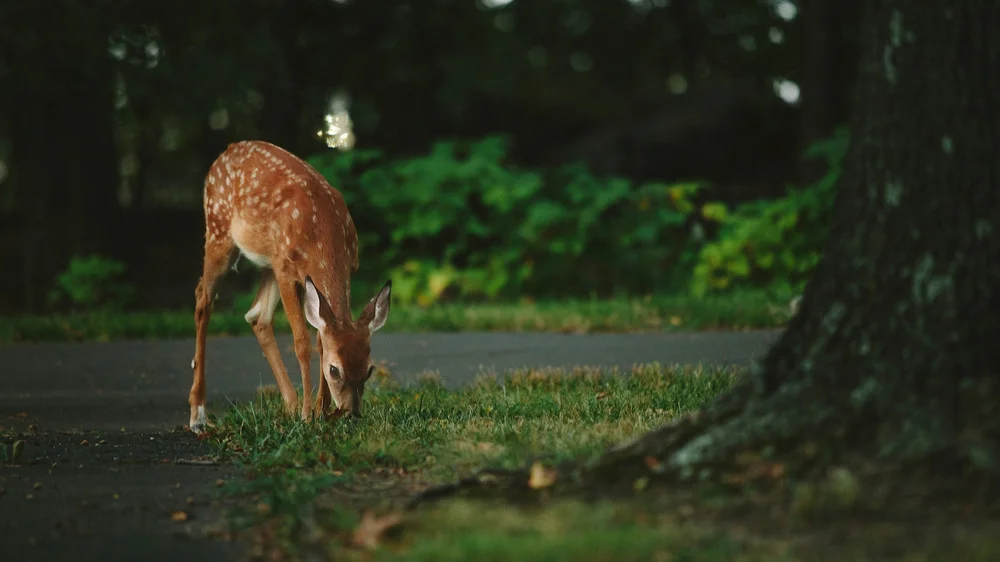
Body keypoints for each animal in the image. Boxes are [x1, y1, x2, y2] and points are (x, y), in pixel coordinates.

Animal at [188, 140, 392, 434]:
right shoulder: (286, 271)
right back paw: (198, 414)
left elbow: (321, 338)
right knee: (203, 299)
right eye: (334, 370)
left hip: (267, 261)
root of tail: (227, 151)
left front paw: (321, 410)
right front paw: (309, 415)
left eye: (369, 369)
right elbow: (302, 343)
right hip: (219, 230)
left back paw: (291, 404)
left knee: (257, 316)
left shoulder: (342, 269)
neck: (322, 232)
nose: (352, 414)